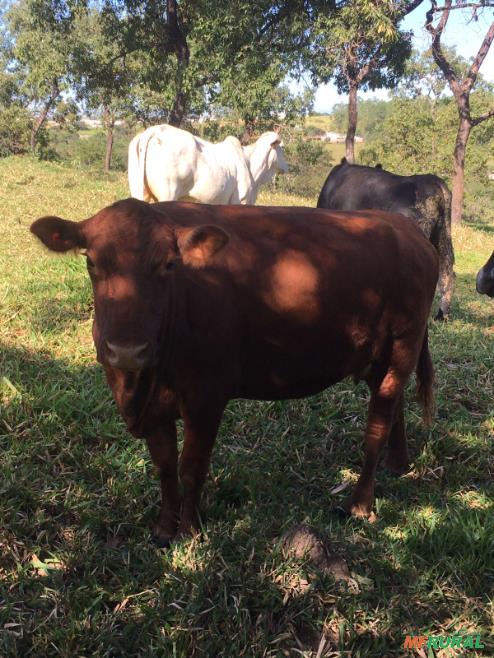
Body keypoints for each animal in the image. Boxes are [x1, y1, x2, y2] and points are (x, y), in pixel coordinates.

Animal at [31, 199, 438, 547]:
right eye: (91, 262)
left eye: (169, 264)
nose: (127, 350)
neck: (139, 386)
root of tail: (406, 228)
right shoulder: (155, 409)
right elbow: (164, 466)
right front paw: (163, 529)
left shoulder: (206, 396)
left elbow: (191, 466)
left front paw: (189, 532)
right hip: (378, 358)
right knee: (393, 408)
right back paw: (397, 464)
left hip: (402, 344)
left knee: (377, 425)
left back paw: (360, 504)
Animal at [128, 125, 288, 205]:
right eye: (282, 147)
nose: (286, 167)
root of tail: (154, 130)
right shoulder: (239, 201)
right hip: (168, 194)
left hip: (140, 191)